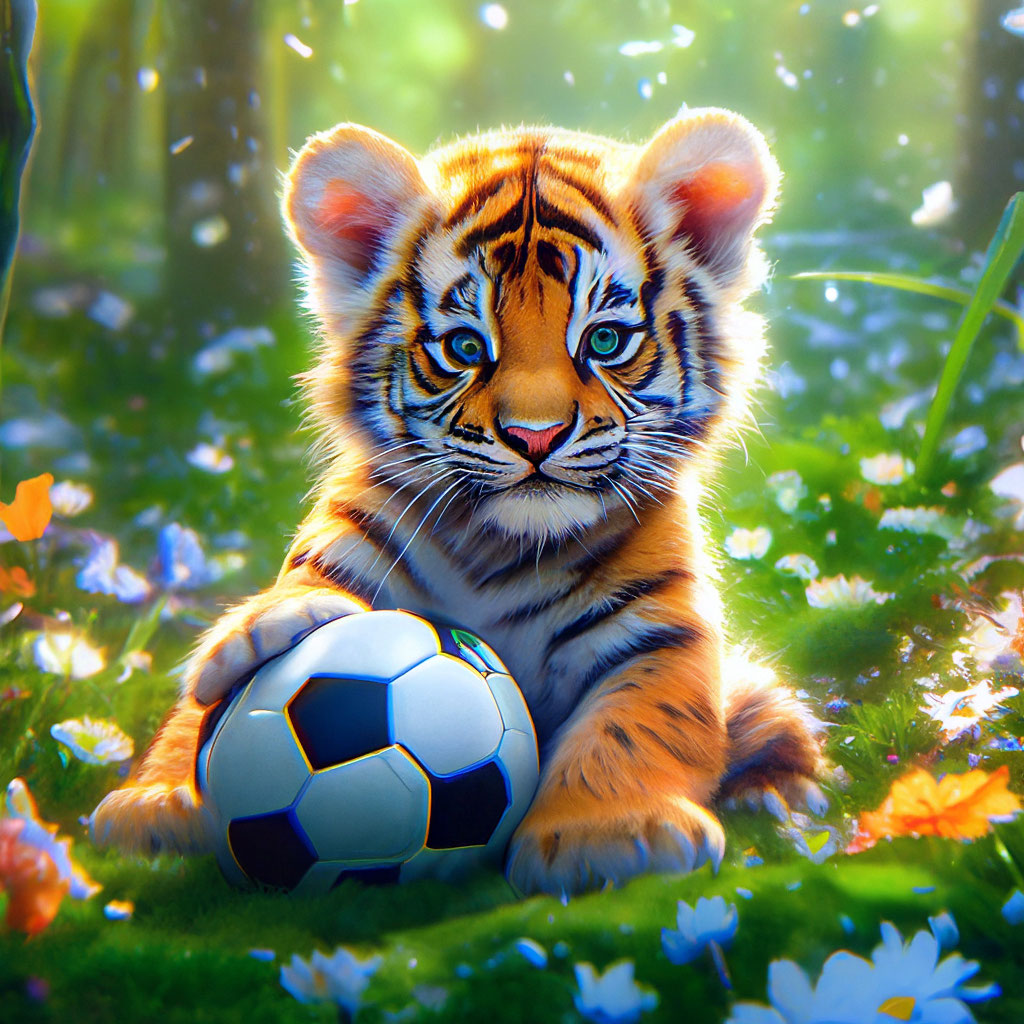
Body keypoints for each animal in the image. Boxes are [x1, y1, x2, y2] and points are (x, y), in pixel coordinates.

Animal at [91, 106, 826, 896]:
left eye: (604, 340)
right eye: (466, 348)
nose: (535, 436)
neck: (505, 549)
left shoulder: (661, 632)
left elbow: (642, 722)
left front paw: (608, 836)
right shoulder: (347, 547)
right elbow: (216, 691)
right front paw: (157, 804)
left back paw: (779, 798)